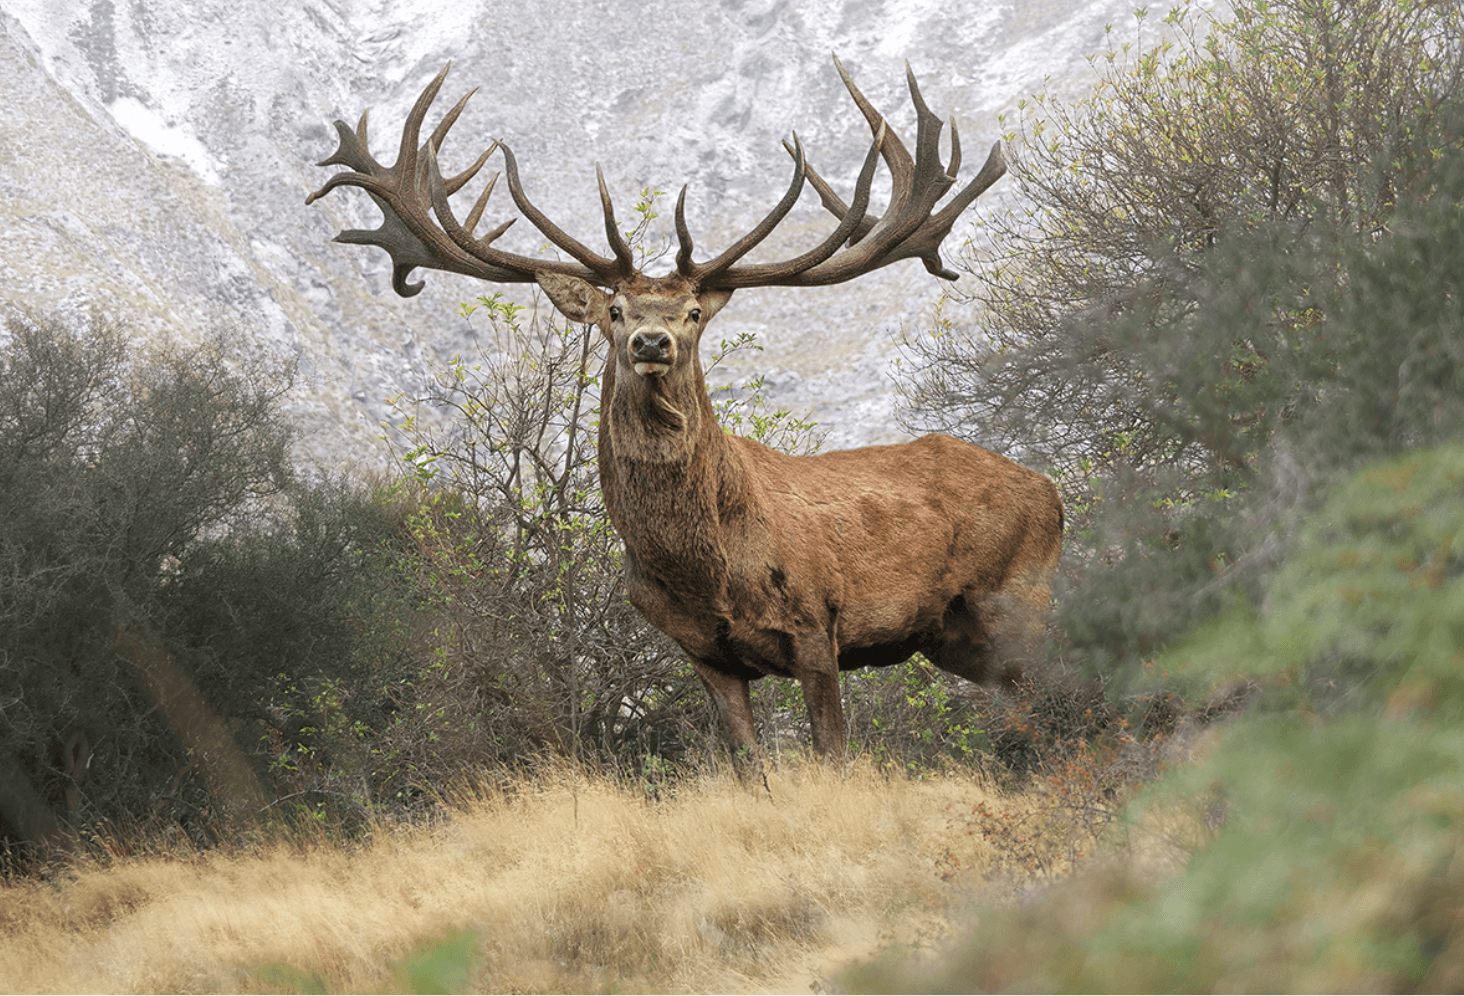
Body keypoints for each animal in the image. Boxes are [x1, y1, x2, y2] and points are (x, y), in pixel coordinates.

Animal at [307, 58, 1064, 764]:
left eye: (694, 312)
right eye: (615, 310)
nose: (652, 341)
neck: (709, 570)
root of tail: (1054, 492)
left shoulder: (816, 626)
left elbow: (833, 754)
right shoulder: (703, 652)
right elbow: (750, 767)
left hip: (1018, 600)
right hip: (954, 635)